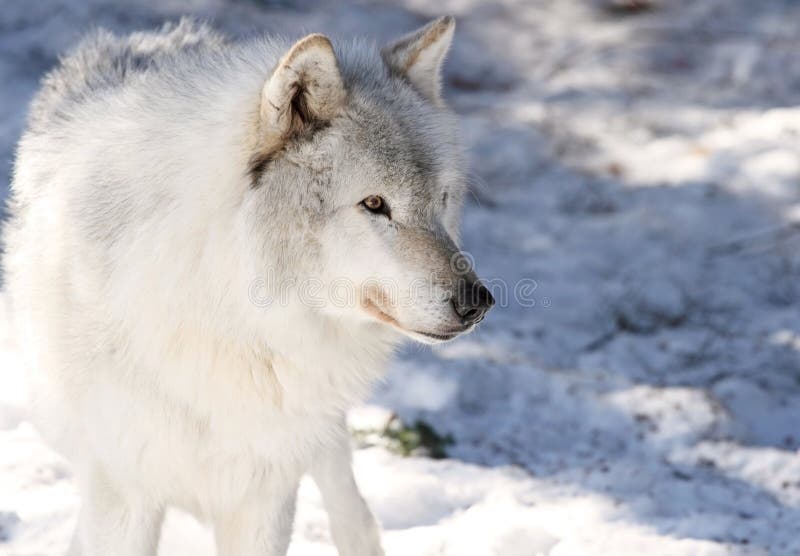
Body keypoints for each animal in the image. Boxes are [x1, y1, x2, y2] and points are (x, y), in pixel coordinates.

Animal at [2, 16, 494, 556]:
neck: (230, 321)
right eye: (374, 203)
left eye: (441, 200)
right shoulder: (124, 492)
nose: (478, 303)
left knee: (351, 503)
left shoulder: (267, 491)